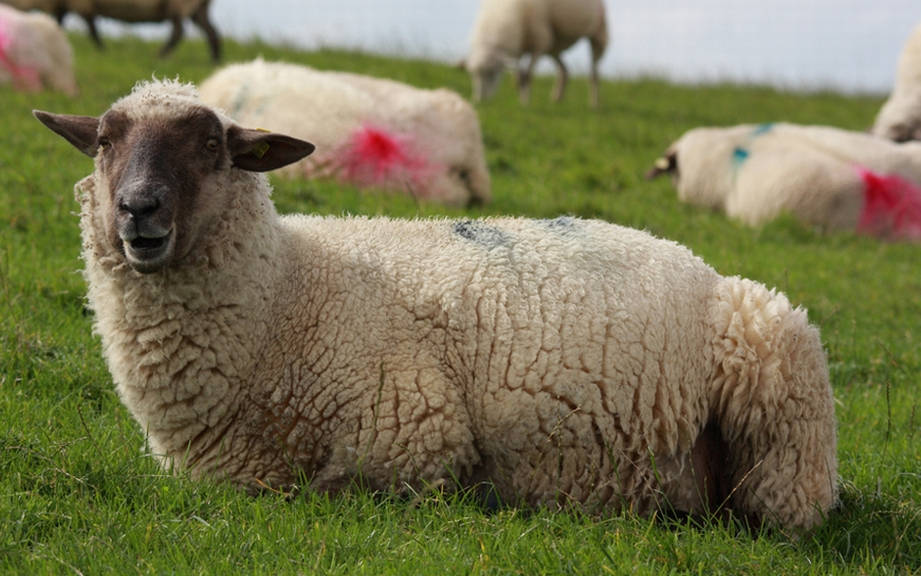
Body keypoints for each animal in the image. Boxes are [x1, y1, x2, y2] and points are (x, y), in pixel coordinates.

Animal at [0, 0, 221, 61]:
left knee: (178, 31)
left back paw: (161, 56)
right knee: (212, 31)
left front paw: (102, 50)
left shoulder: (81, 4)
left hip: (181, 4)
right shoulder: (62, 5)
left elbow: (91, 29)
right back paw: (215, 59)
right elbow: (57, 24)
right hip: (199, 7)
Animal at [33, 79, 837, 531]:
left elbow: (330, 489)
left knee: (784, 510)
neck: (288, 296)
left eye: (209, 144)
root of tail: (704, 267)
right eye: (102, 142)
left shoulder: (411, 435)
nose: (139, 210)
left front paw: (485, 498)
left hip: (782, 392)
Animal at [464, 0, 608, 107]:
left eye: (492, 73)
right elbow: (518, 78)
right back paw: (556, 99)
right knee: (564, 70)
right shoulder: (517, 49)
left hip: (599, 33)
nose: (479, 100)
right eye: (472, 75)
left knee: (594, 73)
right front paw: (521, 101)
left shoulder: (539, 42)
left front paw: (525, 104)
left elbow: (527, 75)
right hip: (554, 46)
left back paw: (594, 104)